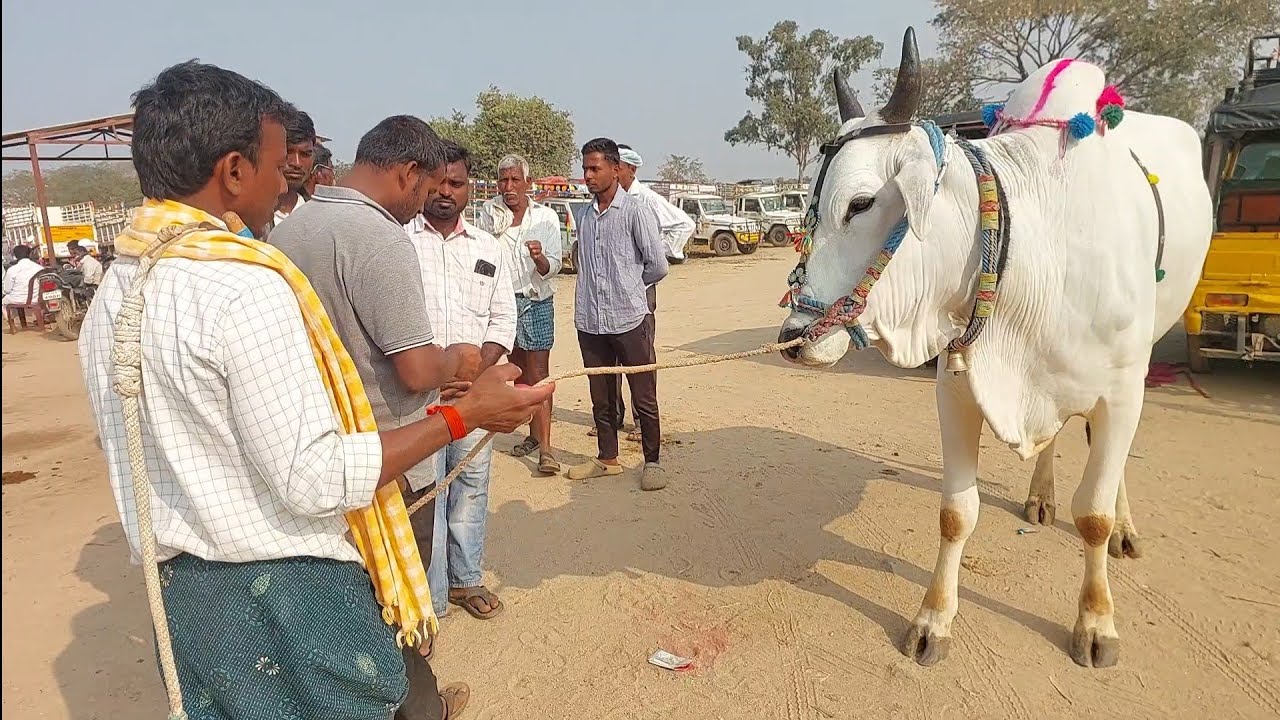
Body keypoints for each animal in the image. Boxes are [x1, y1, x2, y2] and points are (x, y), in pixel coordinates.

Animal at [776, 28, 1212, 668]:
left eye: (859, 203)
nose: (792, 337)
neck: (1033, 247)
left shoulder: (1121, 390)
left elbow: (1095, 514)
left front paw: (1097, 623)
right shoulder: (957, 385)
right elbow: (956, 513)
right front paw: (933, 621)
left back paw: (1124, 528)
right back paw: (1040, 497)